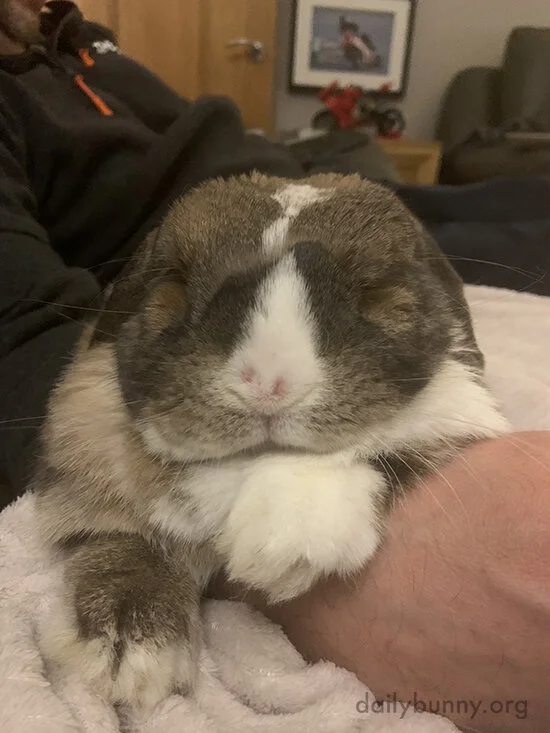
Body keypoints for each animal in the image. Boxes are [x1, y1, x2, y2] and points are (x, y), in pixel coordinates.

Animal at [34, 172, 508, 709]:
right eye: (173, 284)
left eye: (375, 290)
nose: (267, 381)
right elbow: (128, 539)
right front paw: (126, 654)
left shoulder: (460, 414)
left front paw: (286, 539)